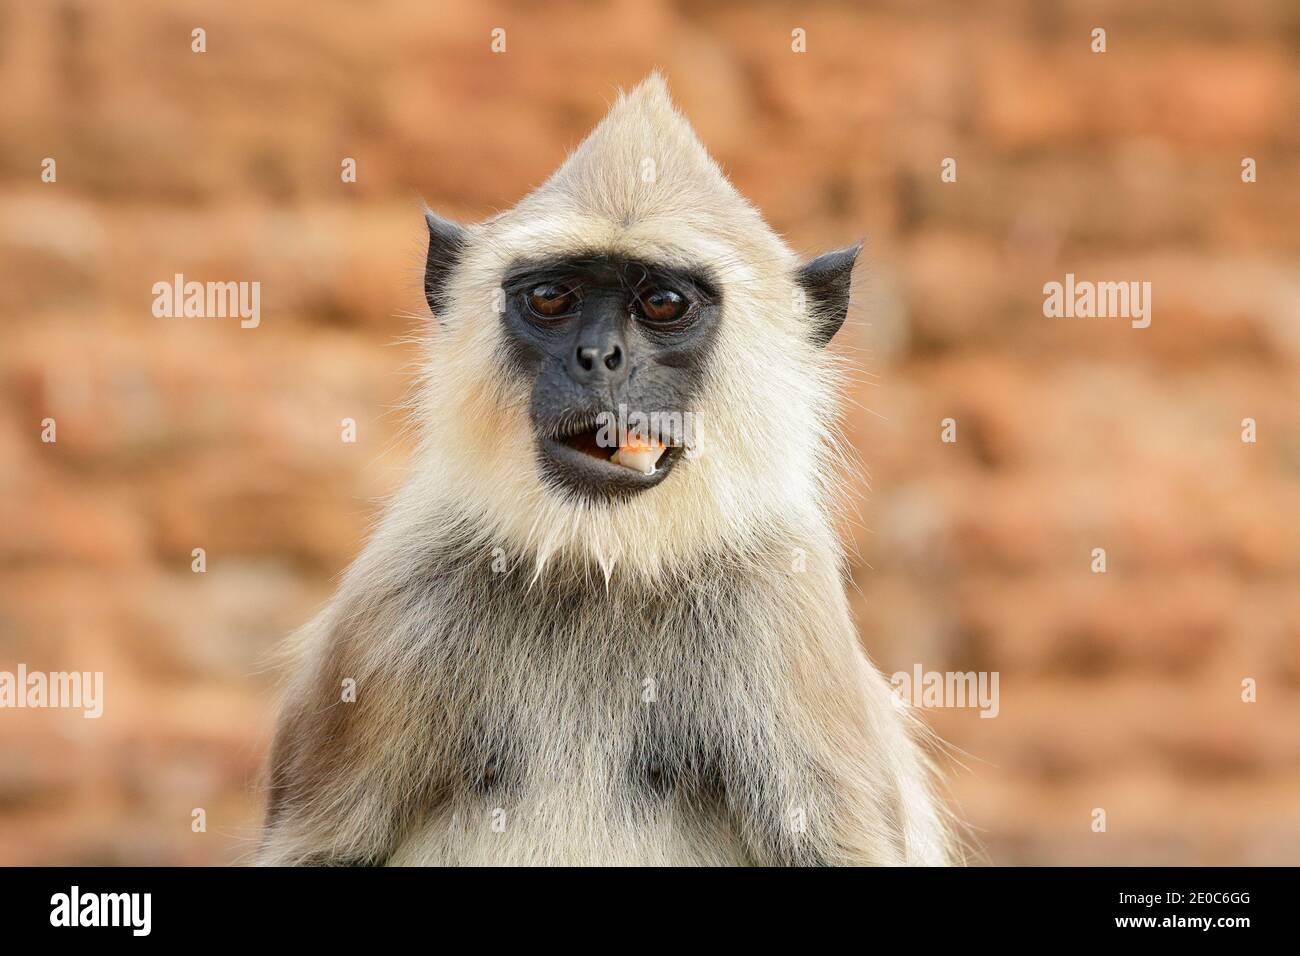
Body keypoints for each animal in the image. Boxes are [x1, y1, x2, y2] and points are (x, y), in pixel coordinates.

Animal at [259, 74, 957, 866]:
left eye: (663, 302)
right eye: (551, 298)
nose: (598, 358)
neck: (602, 565)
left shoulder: (785, 606)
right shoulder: (395, 600)